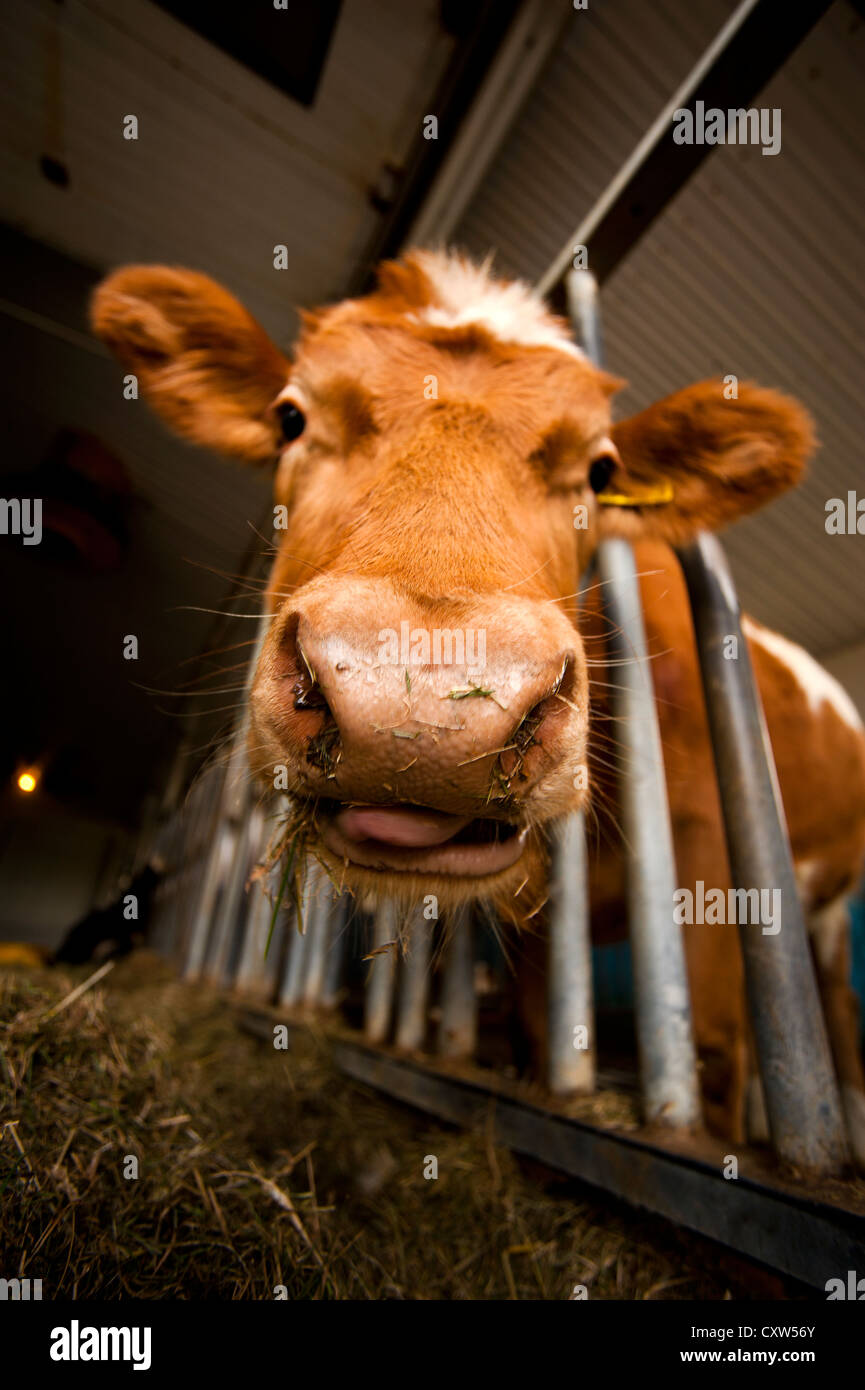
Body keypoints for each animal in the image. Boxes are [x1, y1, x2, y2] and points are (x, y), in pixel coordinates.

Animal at [91, 250, 865, 1165]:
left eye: (599, 469)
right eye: (290, 416)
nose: (420, 707)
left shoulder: (712, 862)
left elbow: (712, 1053)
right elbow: (539, 1034)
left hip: (824, 913)